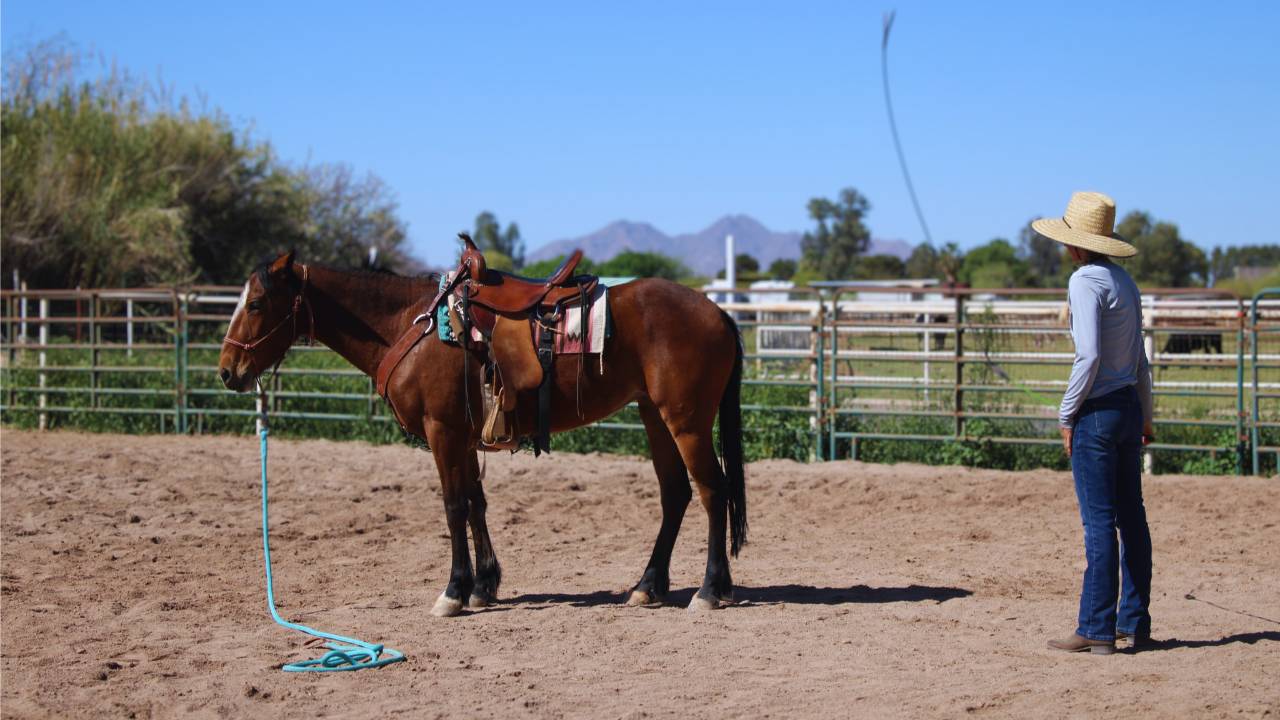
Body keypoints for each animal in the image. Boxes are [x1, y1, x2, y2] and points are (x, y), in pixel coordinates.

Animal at [218, 250, 746, 616]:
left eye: (258, 302)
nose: (227, 371)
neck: (413, 326)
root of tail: (717, 313)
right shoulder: (465, 438)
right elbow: (476, 503)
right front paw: (483, 586)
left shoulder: (443, 432)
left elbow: (453, 506)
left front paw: (453, 592)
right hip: (654, 416)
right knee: (676, 494)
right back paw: (648, 586)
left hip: (686, 421)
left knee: (712, 490)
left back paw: (709, 589)